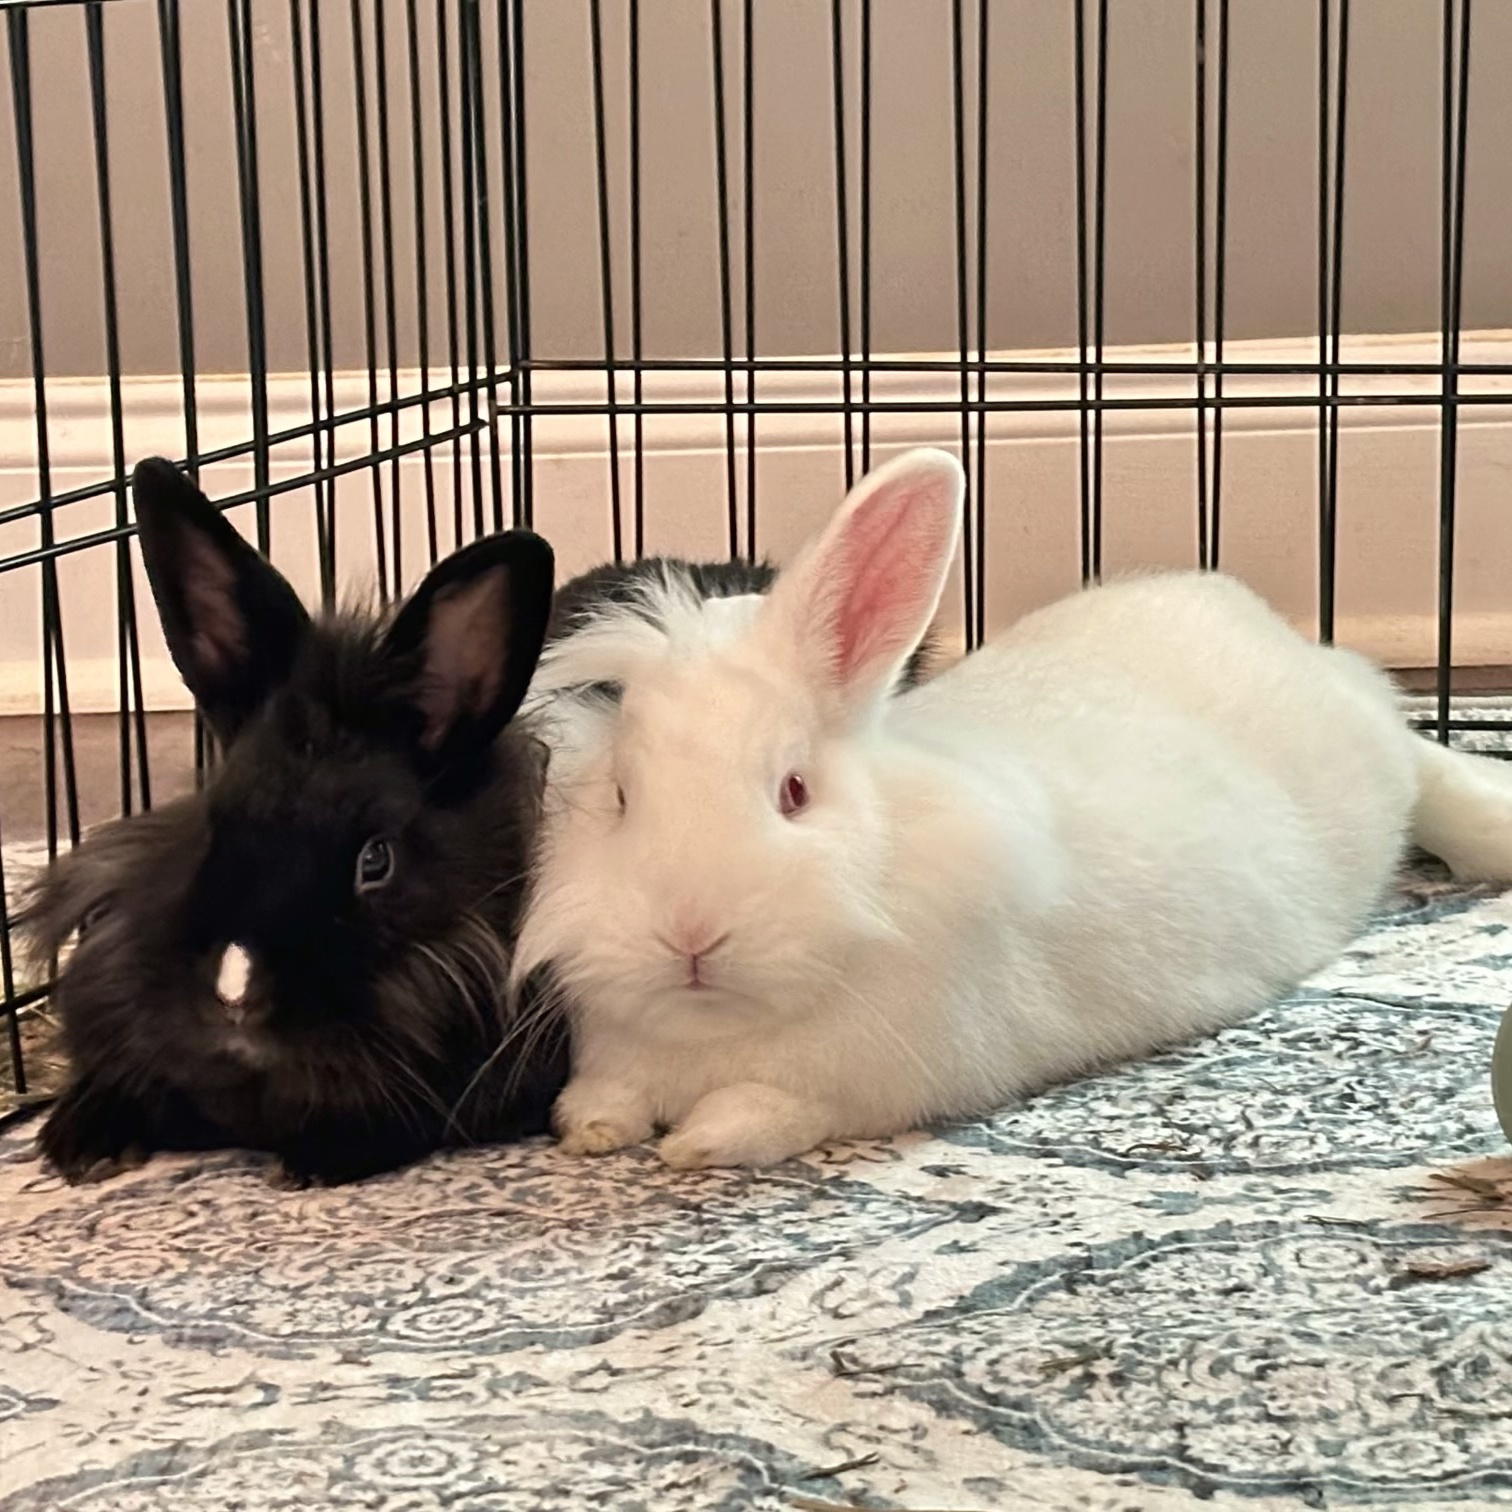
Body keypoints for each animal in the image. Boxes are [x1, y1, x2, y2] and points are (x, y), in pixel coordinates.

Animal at [514, 447, 1512, 1170]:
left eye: (794, 791)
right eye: (620, 797)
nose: (689, 935)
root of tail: (1240, 608)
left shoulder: (866, 1084)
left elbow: (765, 1115)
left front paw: (694, 1142)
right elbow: (603, 1100)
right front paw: (597, 1129)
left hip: (1367, 747)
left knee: (1415, 751)